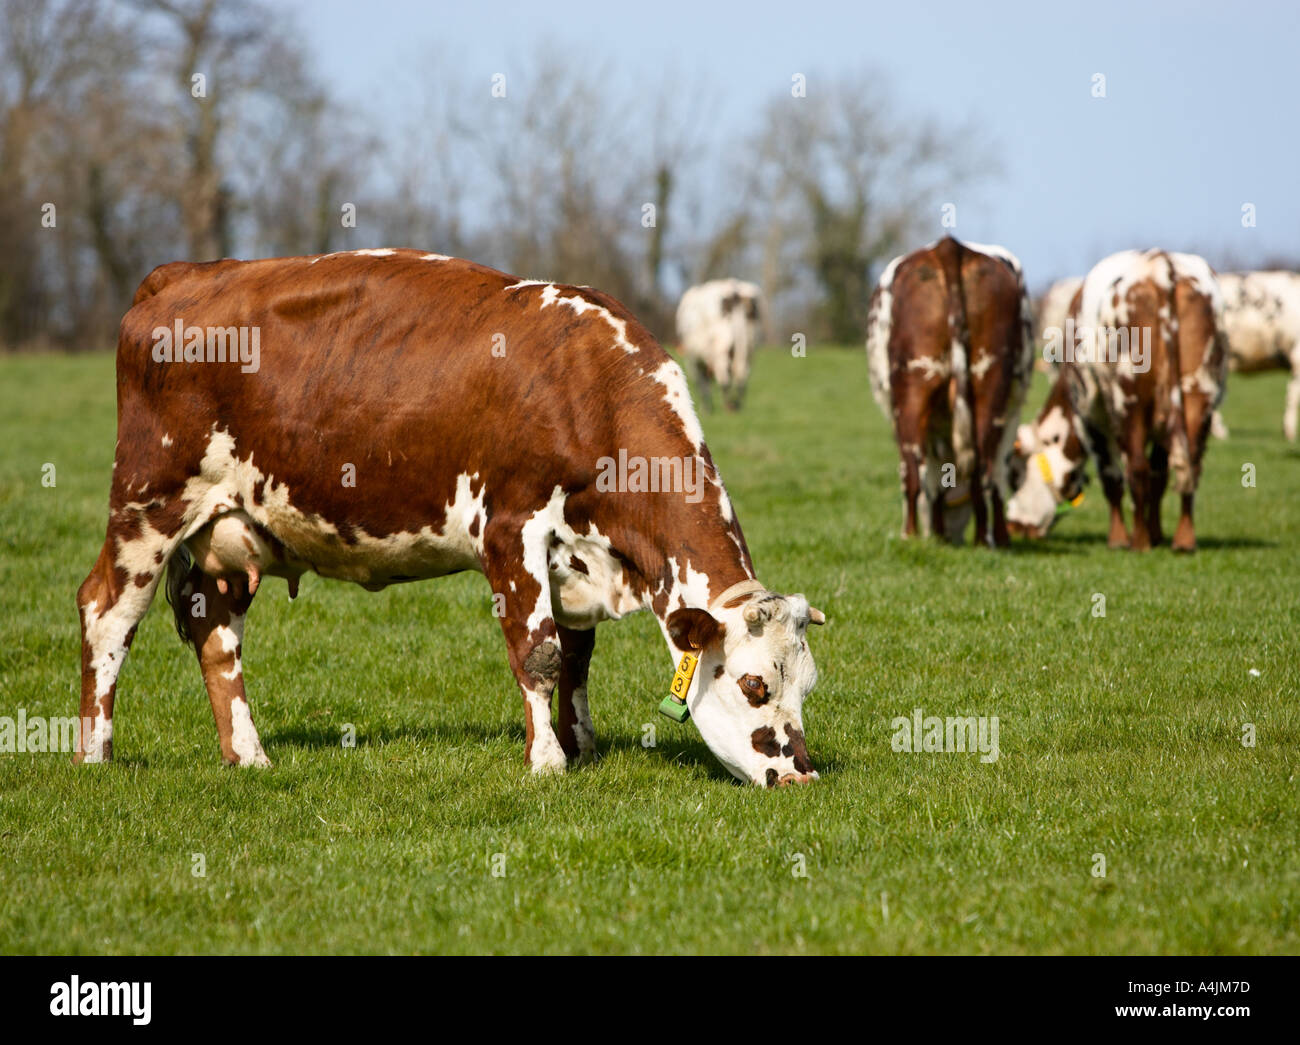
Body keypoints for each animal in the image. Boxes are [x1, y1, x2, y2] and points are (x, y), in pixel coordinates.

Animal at [675, 278, 764, 412]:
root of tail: (733, 287)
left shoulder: (693, 360)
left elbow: (702, 384)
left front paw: (706, 408)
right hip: (748, 348)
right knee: (742, 379)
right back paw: (736, 406)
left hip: (721, 350)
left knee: (724, 380)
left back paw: (727, 407)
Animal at [866, 236, 1034, 546]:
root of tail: (949, 246)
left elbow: (932, 481)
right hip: (986, 387)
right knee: (983, 469)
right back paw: (983, 539)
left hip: (914, 390)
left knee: (914, 470)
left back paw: (911, 534)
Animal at [1006, 249, 1229, 551]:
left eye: (1015, 478)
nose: (1014, 527)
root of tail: (1159, 264)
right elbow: (1160, 476)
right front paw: (1157, 534)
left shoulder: (1090, 415)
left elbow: (1111, 477)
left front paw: (1119, 538)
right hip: (1198, 395)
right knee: (1188, 465)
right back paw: (1183, 540)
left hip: (1129, 402)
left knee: (1136, 468)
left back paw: (1139, 542)